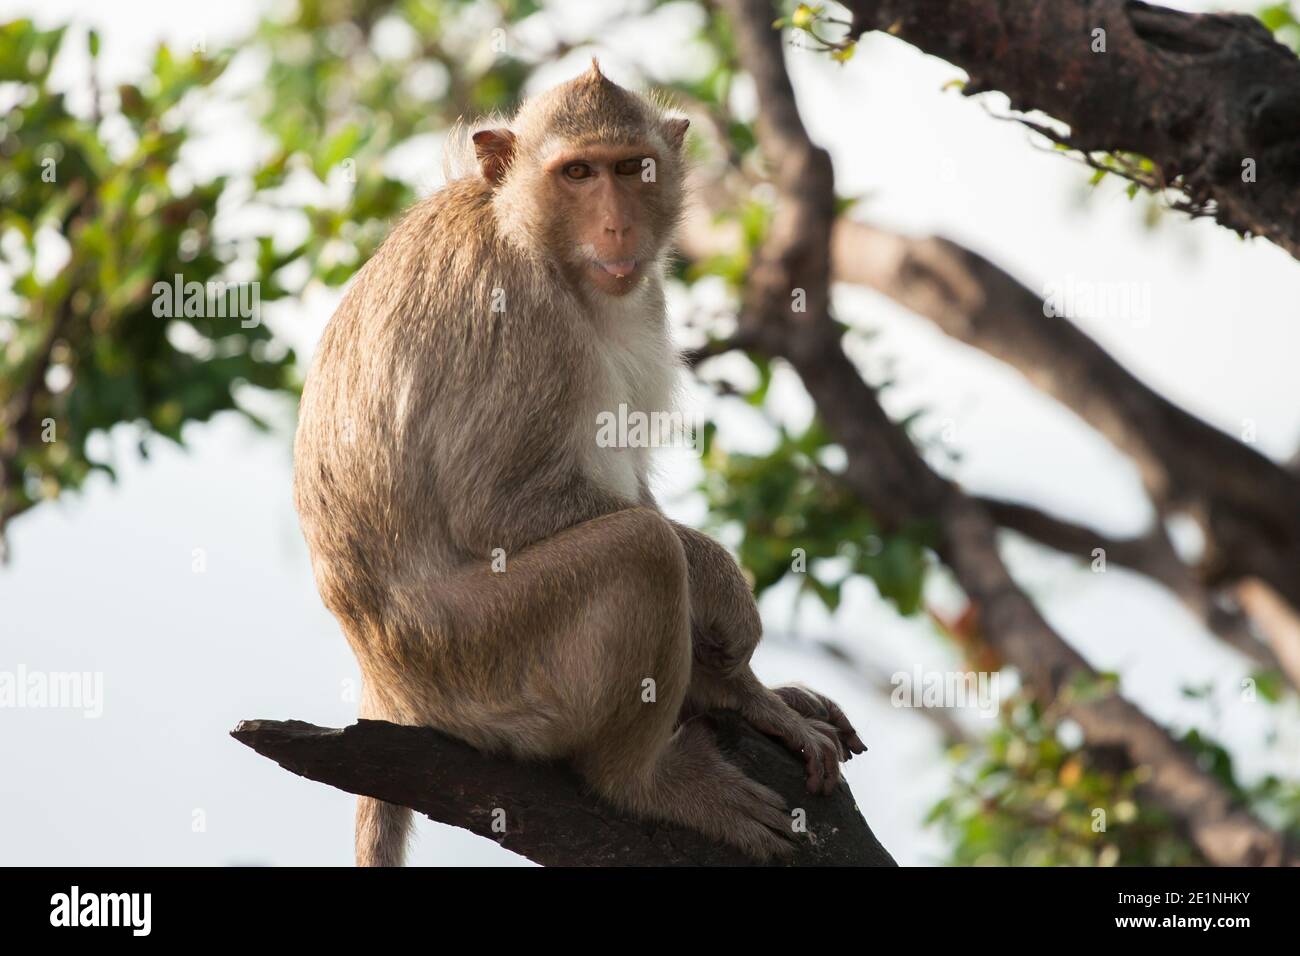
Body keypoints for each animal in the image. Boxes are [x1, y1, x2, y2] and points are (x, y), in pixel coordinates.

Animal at [293, 60, 865, 867]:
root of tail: (384, 688)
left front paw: (749, 693)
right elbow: (495, 507)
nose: (618, 225)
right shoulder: (518, 316)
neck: (533, 237)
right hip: (480, 662)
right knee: (643, 553)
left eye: (632, 169)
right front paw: (724, 591)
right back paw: (646, 782)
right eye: (577, 172)